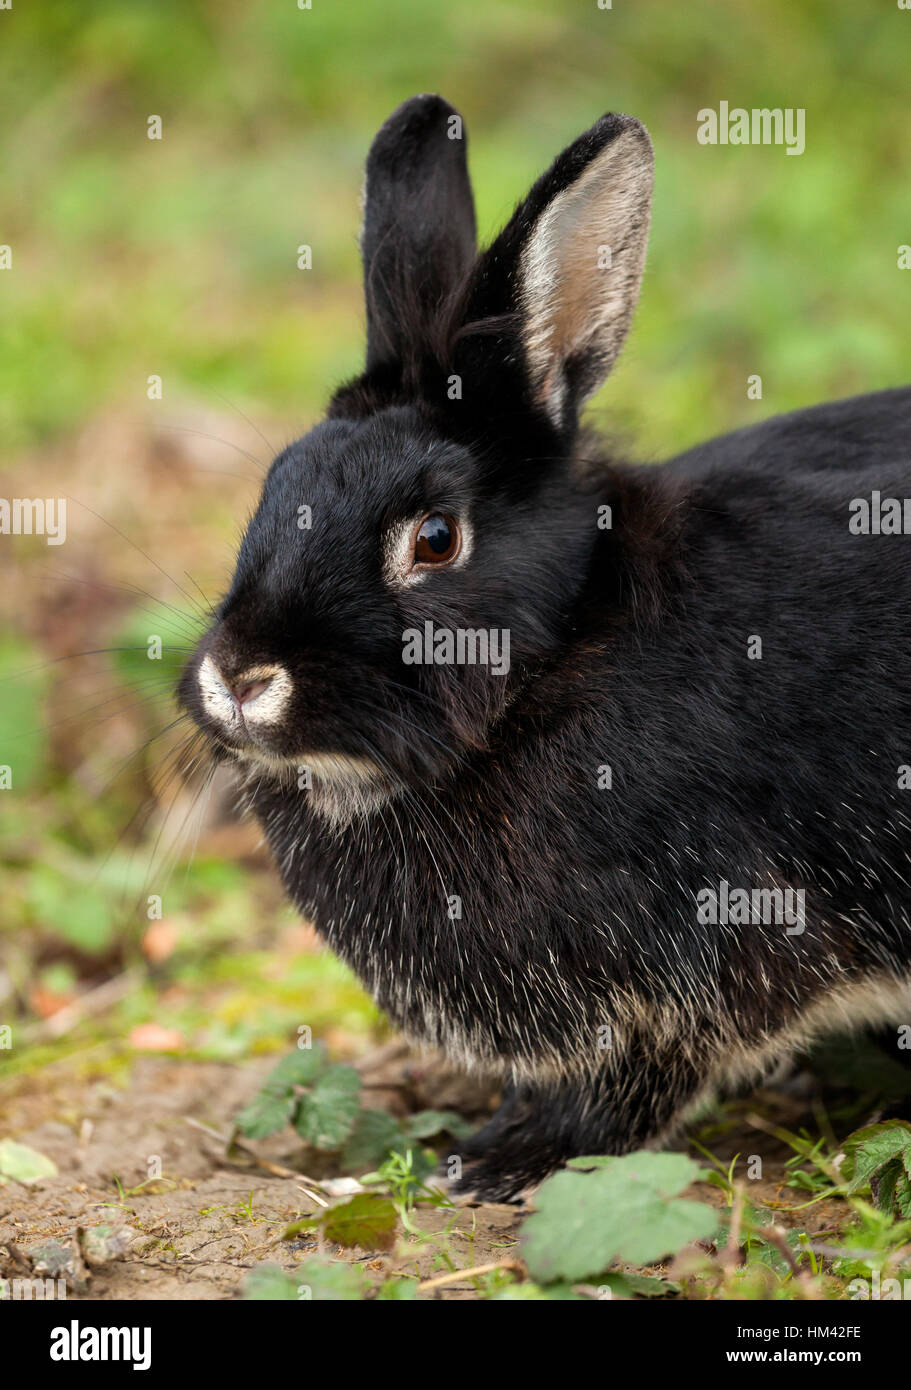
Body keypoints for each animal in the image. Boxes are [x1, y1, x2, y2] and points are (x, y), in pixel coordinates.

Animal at [179, 94, 911, 1200]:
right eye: (273, 487)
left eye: (435, 539)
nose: (240, 677)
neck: (558, 655)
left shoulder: (704, 959)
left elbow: (641, 1077)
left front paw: (501, 1161)